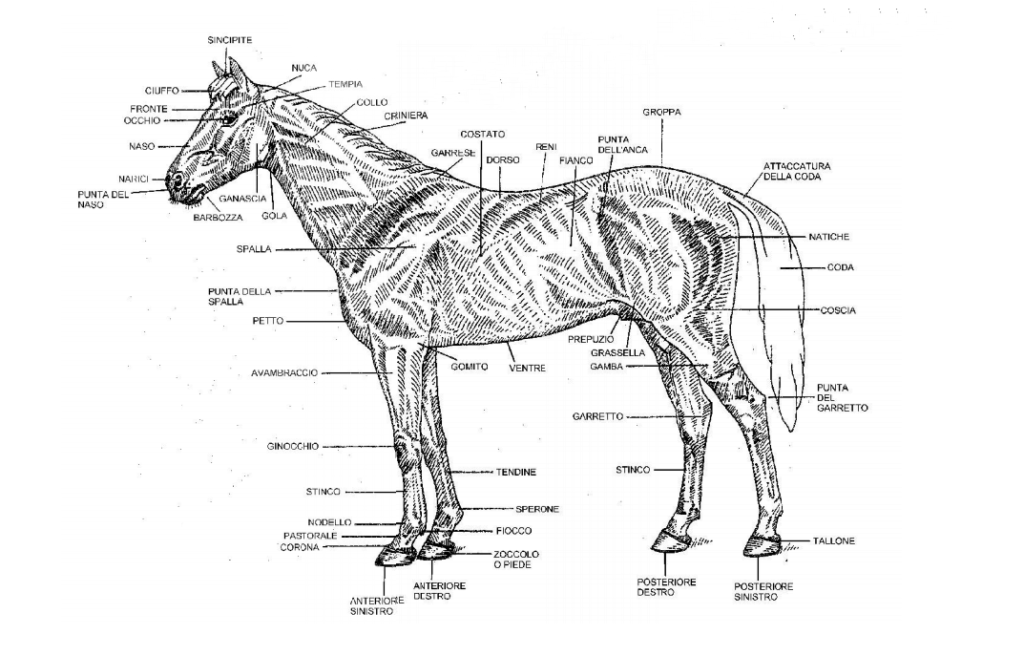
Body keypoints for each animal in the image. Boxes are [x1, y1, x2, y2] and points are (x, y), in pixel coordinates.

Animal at [167, 58, 807, 567]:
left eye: (228, 118)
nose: (174, 181)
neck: (382, 218)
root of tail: (719, 196)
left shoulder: (395, 346)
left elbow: (405, 441)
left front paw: (401, 544)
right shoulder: (420, 350)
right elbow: (433, 436)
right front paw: (441, 535)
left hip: (691, 330)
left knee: (749, 406)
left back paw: (764, 534)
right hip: (660, 333)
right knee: (694, 418)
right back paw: (675, 531)